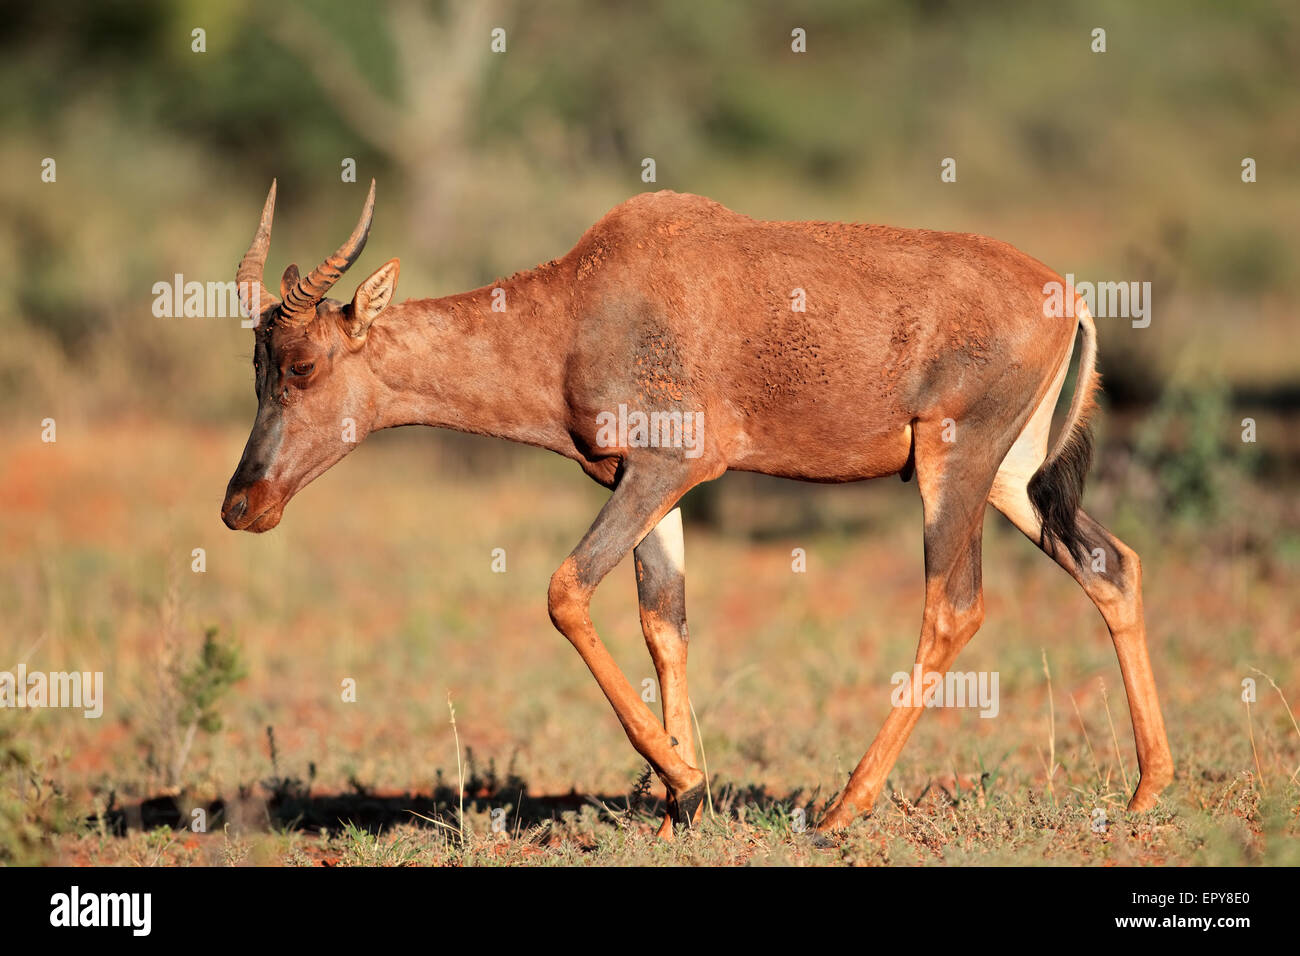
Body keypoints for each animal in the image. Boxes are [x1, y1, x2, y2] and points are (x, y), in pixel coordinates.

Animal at [222, 180, 1173, 835]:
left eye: (303, 364)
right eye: (257, 368)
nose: (242, 505)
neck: (582, 302)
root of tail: (1070, 299)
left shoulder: (670, 466)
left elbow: (566, 590)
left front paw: (683, 781)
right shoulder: (643, 483)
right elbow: (663, 621)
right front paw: (686, 800)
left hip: (955, 463)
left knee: (955, 606)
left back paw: (844, 808)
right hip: (1016, 480)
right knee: (1112, 565)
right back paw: (1146, 788)